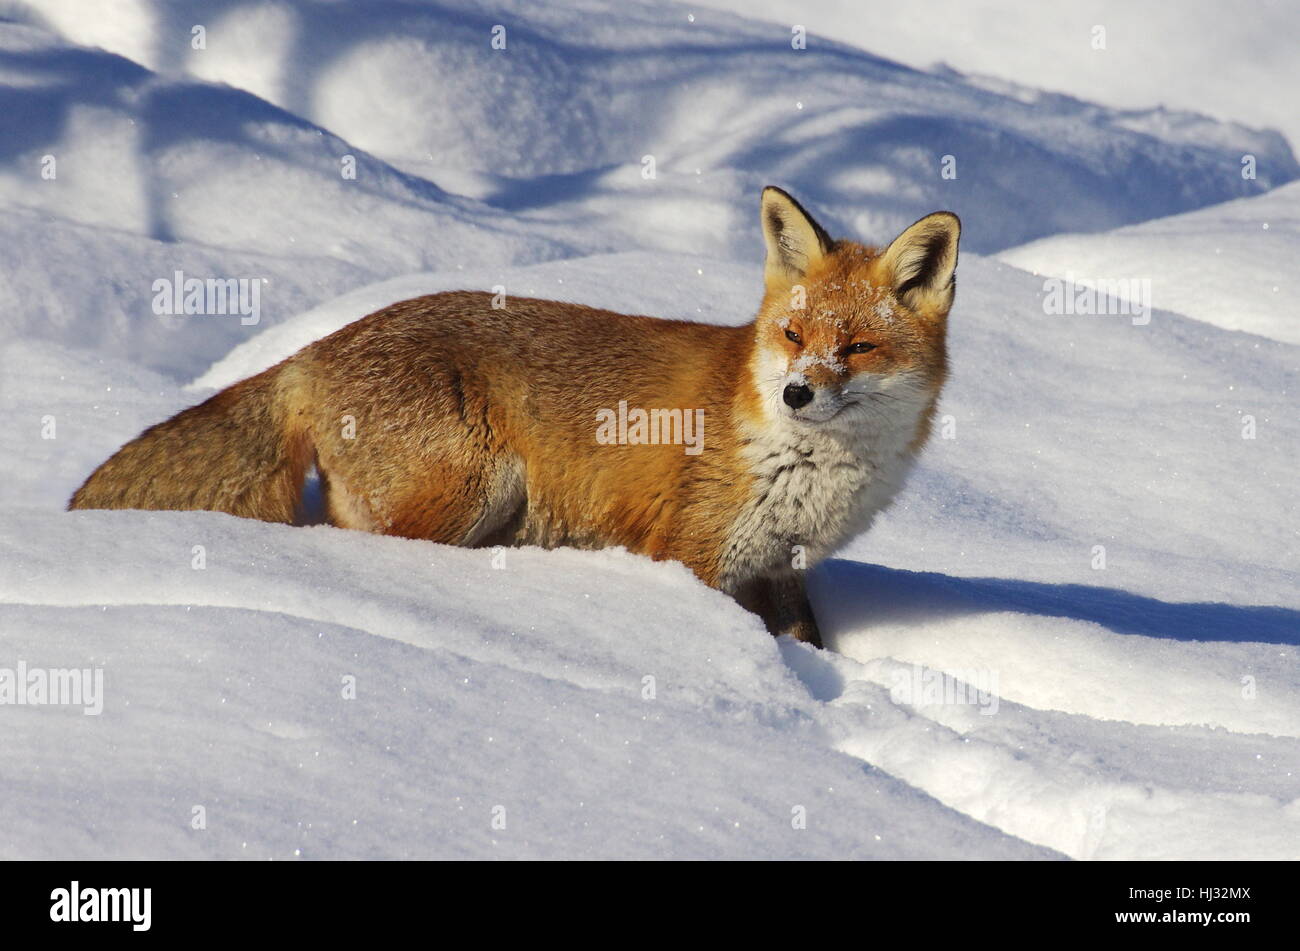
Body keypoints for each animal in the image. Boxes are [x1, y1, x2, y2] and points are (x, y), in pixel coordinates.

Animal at [70, 187, 959, 649]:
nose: (797, 395)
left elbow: (807, 641)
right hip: (475, 485)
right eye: (794, 336)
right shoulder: (691, 551)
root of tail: (316, 347)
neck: (807, 470)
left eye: (859, 345)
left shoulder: (781, 567)